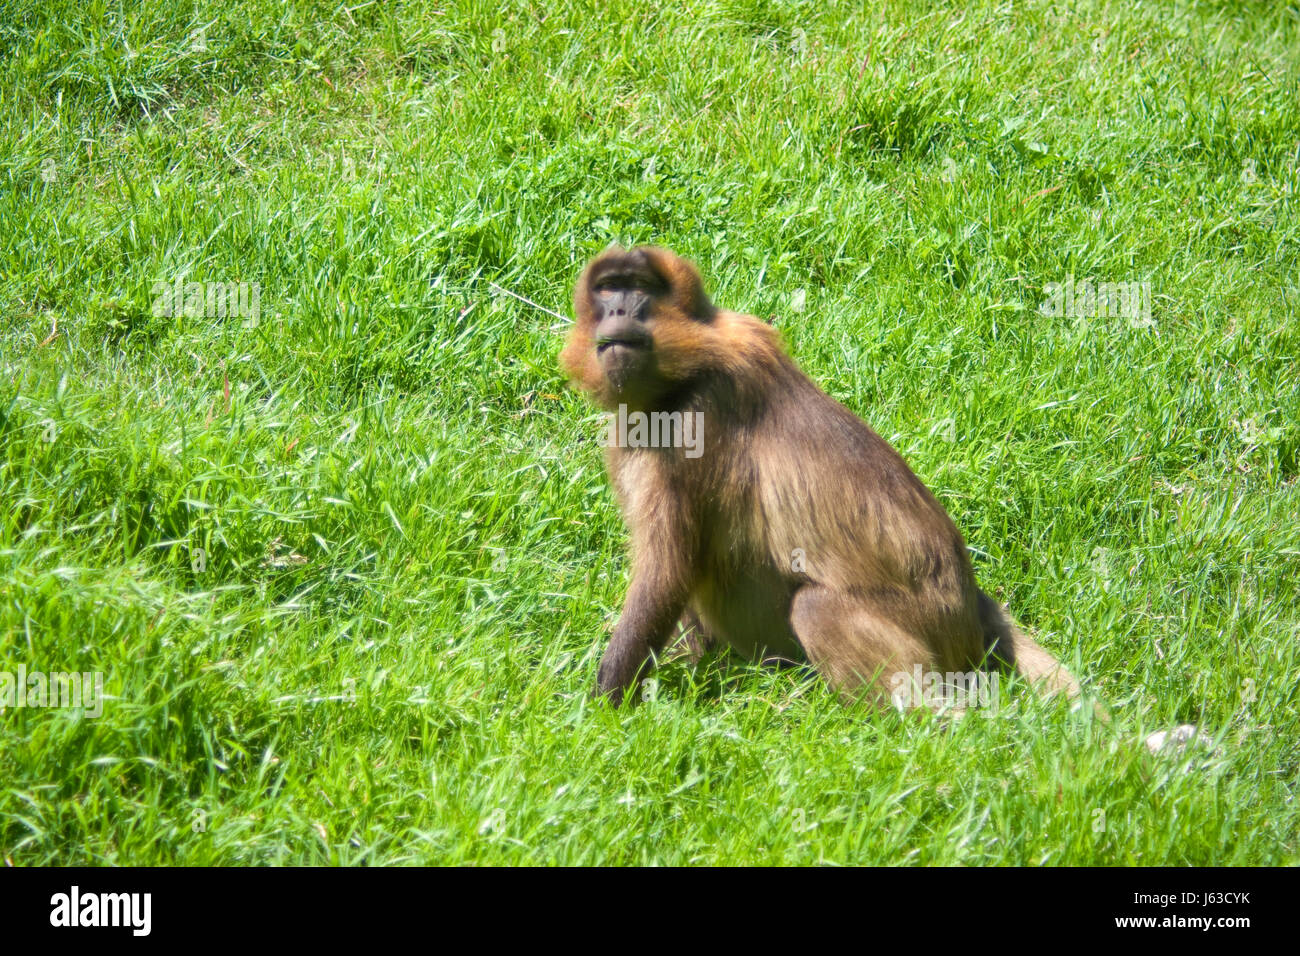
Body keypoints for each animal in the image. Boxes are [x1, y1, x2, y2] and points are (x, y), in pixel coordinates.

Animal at [560, 245, 1086, 711]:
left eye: (639, 288)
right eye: (608, 288)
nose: (618, 309)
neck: (685, 368)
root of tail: (970, 607)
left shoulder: (691, 421)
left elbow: (669, 569)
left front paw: (608, 706)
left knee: (815, 609)